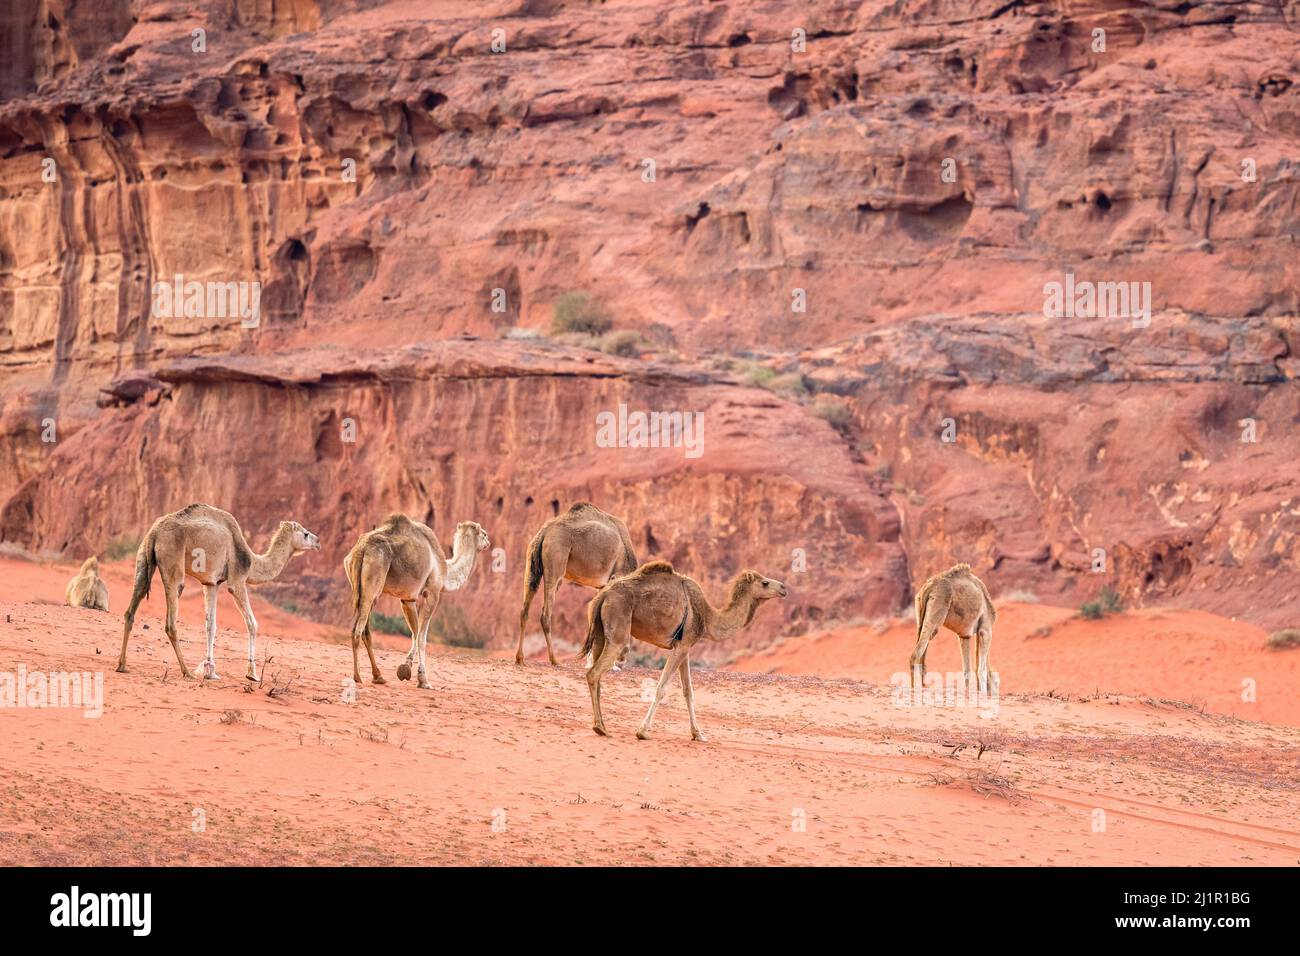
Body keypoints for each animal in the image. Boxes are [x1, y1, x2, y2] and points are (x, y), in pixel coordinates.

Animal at [118, 504, 320, 680]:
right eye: (305, 533)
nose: (318, 542)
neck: (252, 561)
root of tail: (155, 532)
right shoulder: (237, 580)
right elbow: (252, 624)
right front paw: (252, 673)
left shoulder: (211, 583)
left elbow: (211, 626)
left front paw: (210, 671)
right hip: (173, 561)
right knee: (171, 622)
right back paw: (186, 672)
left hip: (143, 557)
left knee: (132, 607)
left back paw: (122, 665)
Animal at [343, 514, 490, 690]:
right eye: (484, 534)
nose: (489, 542)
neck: (445, 571)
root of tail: (361, 550)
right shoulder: (432, 593)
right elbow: (422, 638)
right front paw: (423, 680)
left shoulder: (407, 598)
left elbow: (415, 632)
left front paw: (405, 669)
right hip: (373, 584)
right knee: (357, 630)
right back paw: (358, 677)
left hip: (360, 588)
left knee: (365, 630)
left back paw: (378, 676)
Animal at [516, 501, 638, 666]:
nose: (622, 659)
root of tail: (545, 532)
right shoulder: (616, 577)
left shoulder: (602, 586)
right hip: (556, 558)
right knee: (545, 615)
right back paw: (554, 660)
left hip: (532, 566)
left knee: (525, 609)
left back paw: (519, 658)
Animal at [581, 560, 787, 741]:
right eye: (765, 582)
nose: (784, 588)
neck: (707, 617)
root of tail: (602, 596)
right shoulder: (681, 646)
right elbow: (662, 688)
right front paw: (643, 732)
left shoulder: (685, 648)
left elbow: (688, 692)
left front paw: (698, 734)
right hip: (619, 631)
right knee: (594, 672)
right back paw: (600, 728)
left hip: (601, 633)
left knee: (596, 673)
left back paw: (601, 726)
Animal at [909, 563, 996, 694]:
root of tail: (928, 587)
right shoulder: (985, 630)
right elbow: (982, 669)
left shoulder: (965, 635)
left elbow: (968, 669)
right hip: (935, 617)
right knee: (916, 655)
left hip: (920, 617)